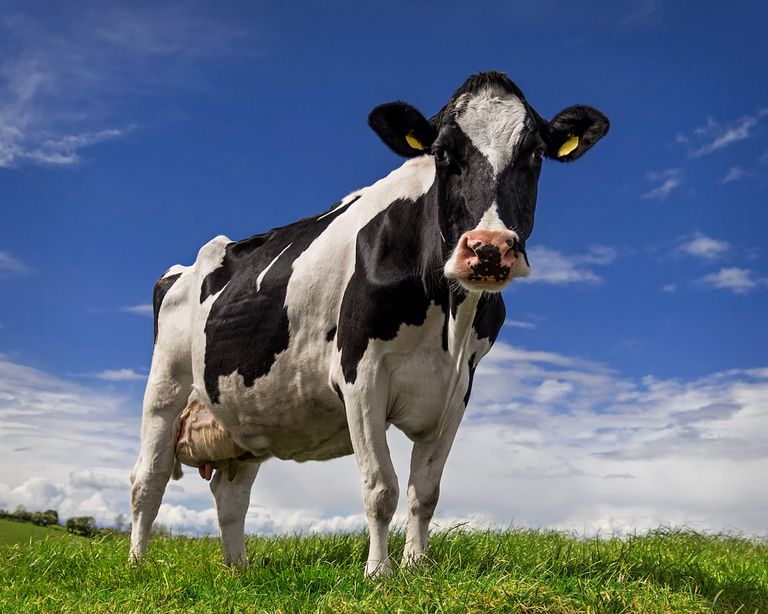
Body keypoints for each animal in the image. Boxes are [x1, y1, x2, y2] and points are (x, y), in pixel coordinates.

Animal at [129, 71, 609, 576]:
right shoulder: (361, 373)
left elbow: (425, 492)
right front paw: (378, 573)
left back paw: (238, 569)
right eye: (442, 153)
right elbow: (382, 487)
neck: (449, 320)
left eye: (534, 154)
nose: (489, 249)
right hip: (165, 388)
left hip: (244, 415)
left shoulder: (457, 388)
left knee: (231, 494)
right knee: (148, 480)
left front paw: (417, 567)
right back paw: (138, 565)